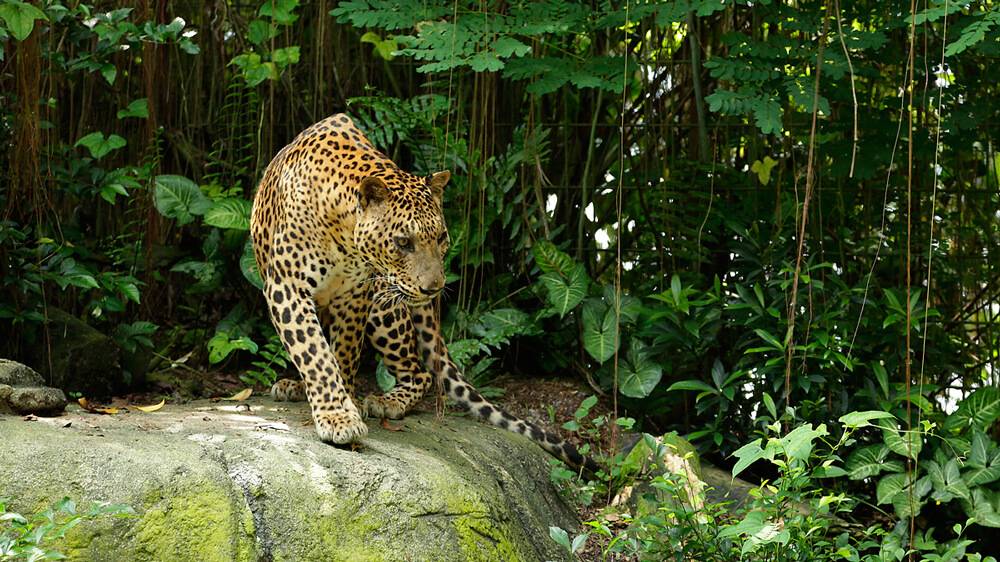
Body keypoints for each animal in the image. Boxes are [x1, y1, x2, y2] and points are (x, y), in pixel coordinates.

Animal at [250, 113, 596, 472]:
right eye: (403, 242)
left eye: (442, 237)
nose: (434, 287)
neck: (344, 233)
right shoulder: (287, 285)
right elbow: (315, 352)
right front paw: (338, 416)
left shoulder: (356, 294)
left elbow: (342, 354)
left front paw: (344, 405)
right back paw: (296, 386)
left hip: (384, 305)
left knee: (420, 373)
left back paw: (388, 401)